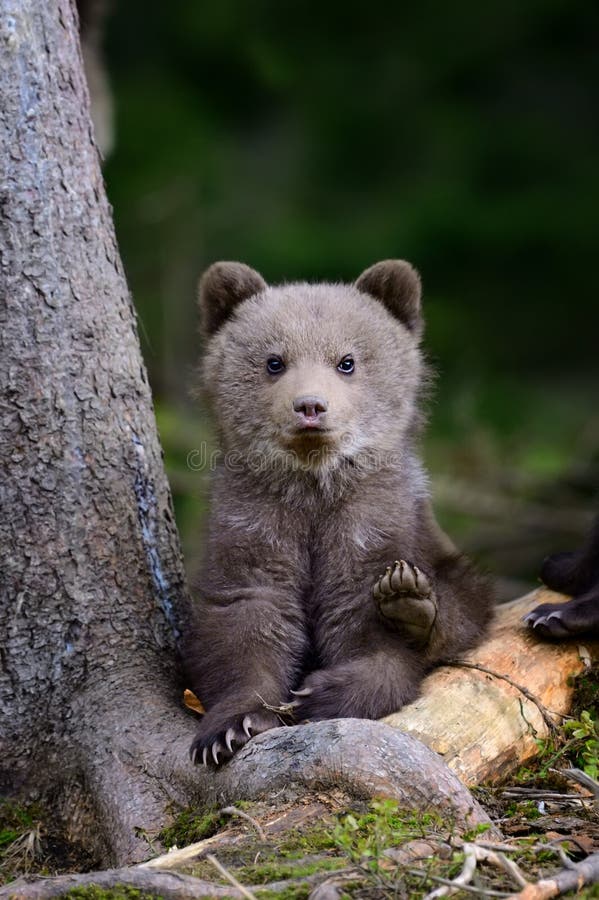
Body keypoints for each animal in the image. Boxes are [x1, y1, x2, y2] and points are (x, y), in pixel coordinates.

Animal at [183, 260, 495, 766]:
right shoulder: (255, 517)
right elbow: (246, 615)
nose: (310, 405)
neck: (314, 487)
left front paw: (330, 691)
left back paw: (412, 601)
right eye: (274, 361)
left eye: (346, 361)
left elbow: (363, 613)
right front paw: (232, 725)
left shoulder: (370, 518)